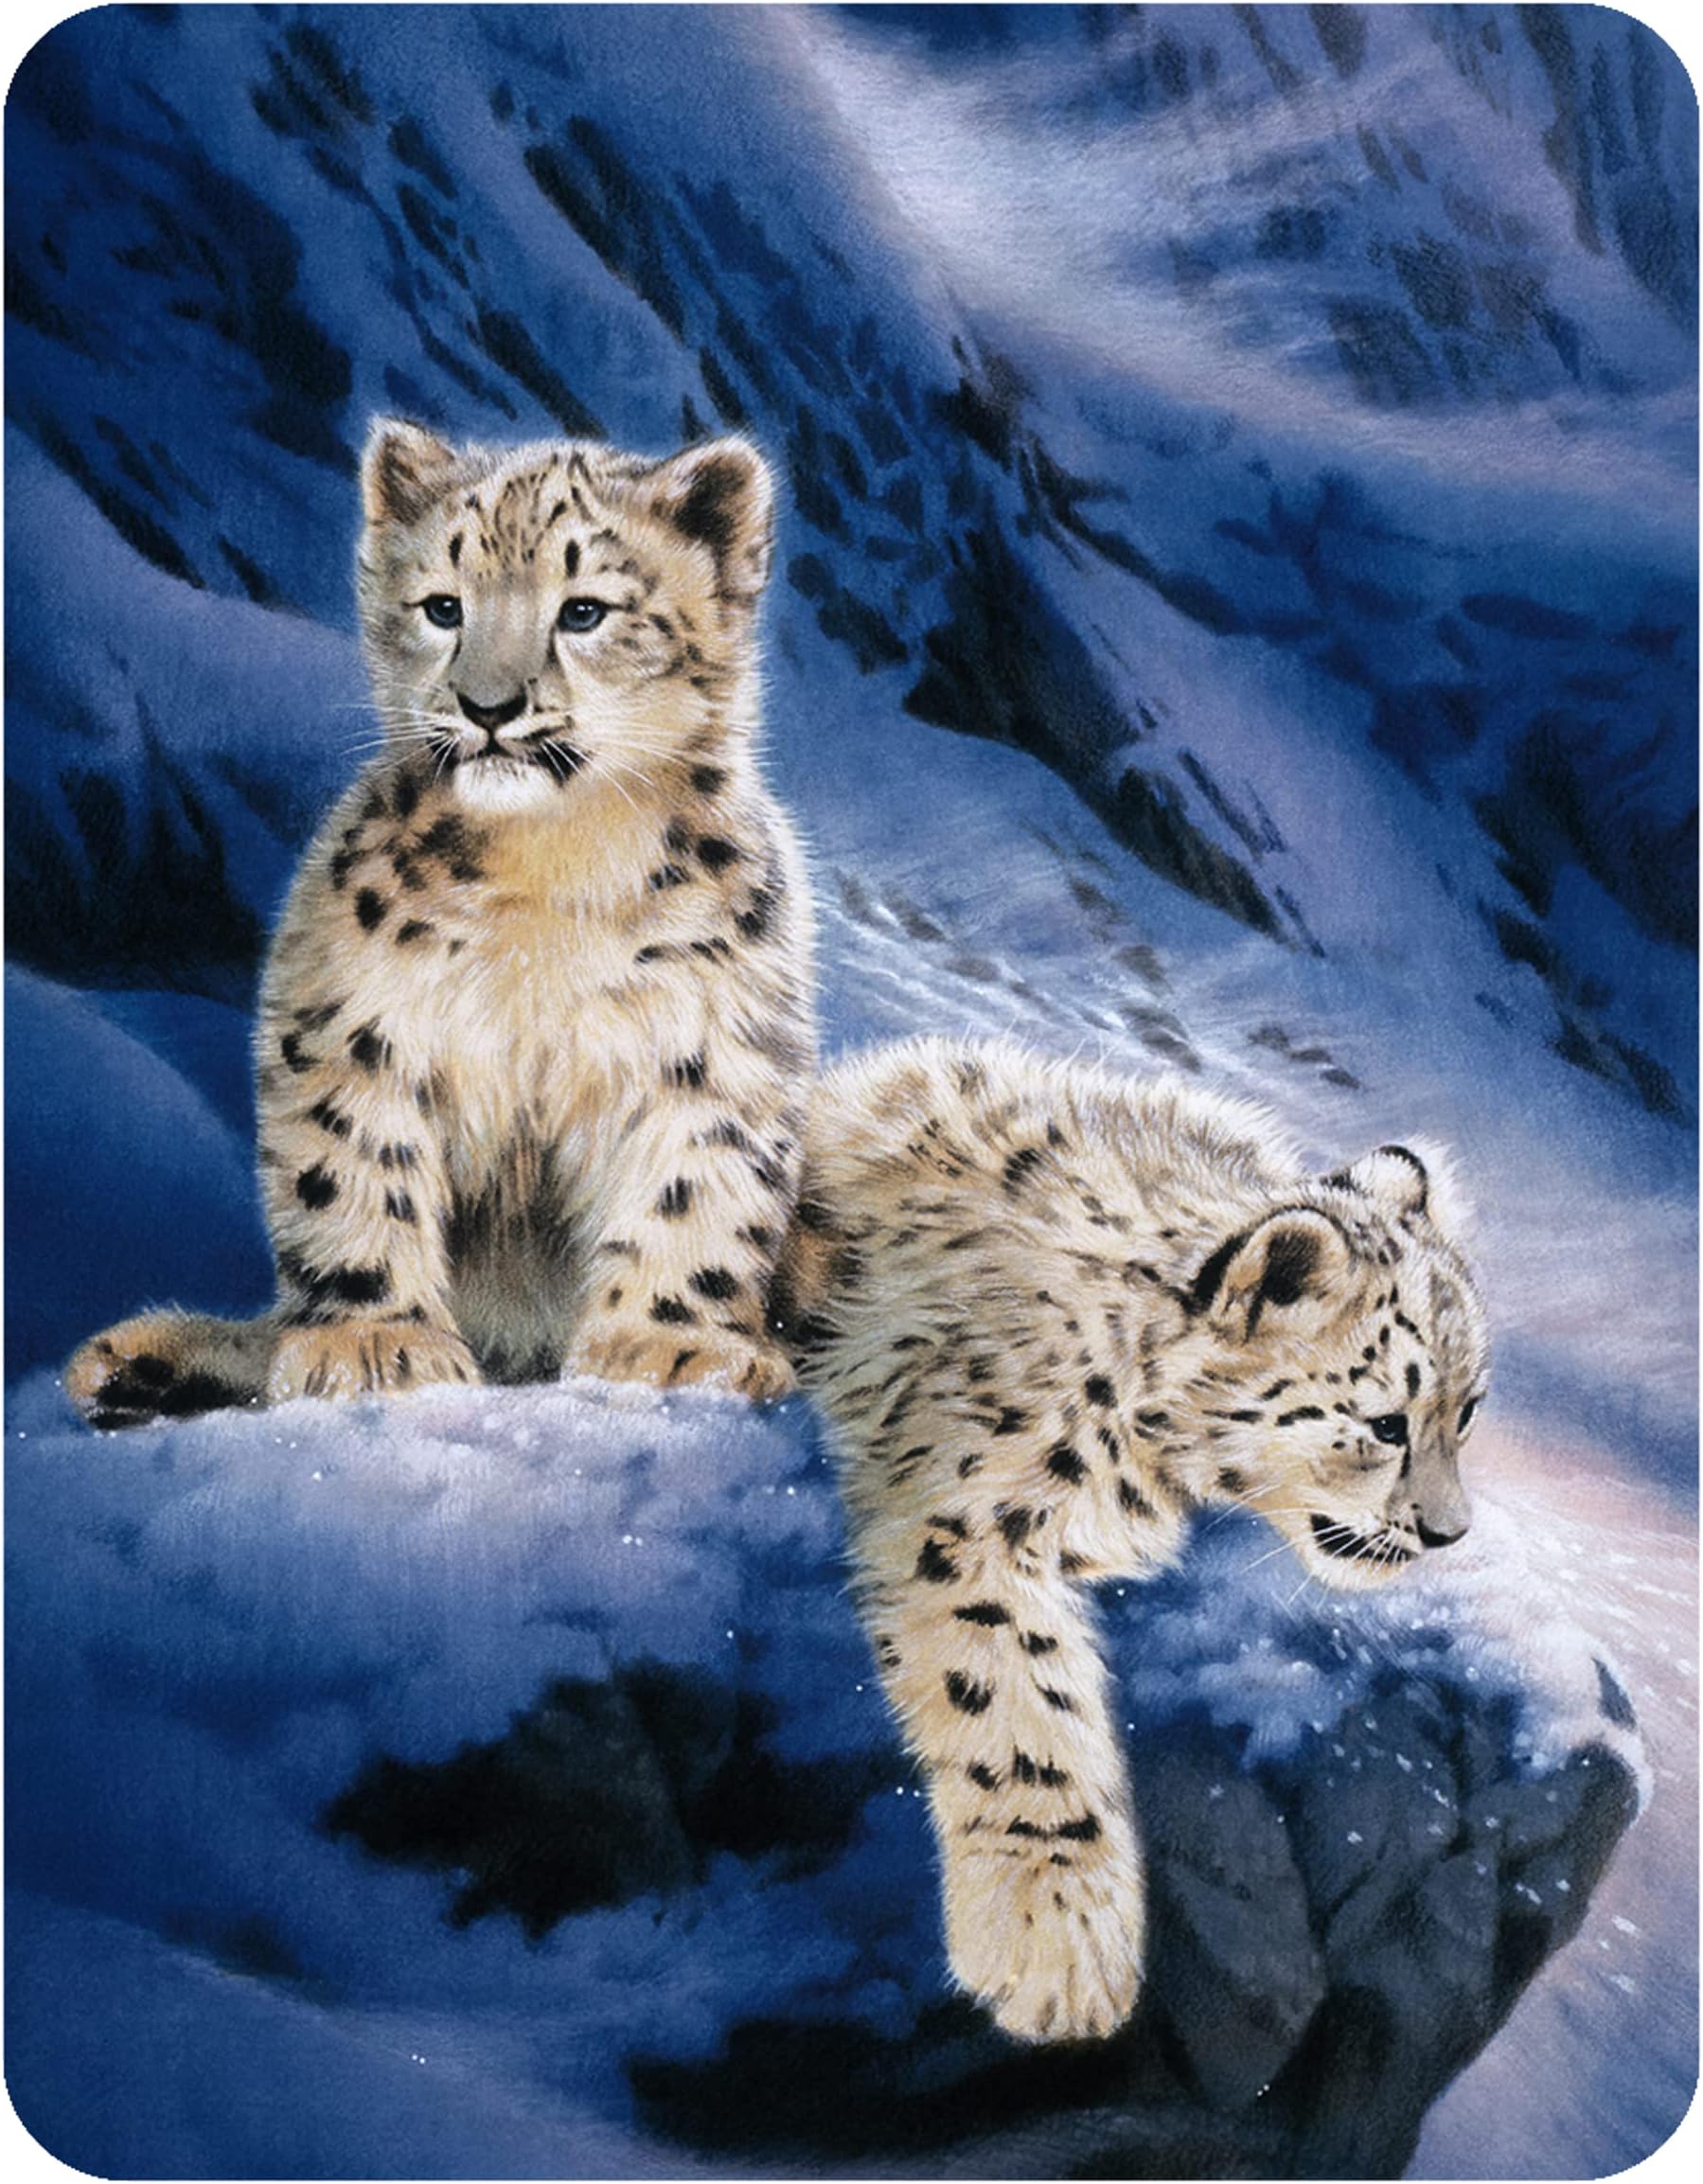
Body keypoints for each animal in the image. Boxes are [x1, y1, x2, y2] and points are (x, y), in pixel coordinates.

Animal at [66, 419, 814, 1425]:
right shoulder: (356, 1017)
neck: (551, 868)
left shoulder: (710, 1040)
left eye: (584, 611)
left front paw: (671, 1346)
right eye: (442, 607)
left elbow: (693, 1189)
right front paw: (374, 1344)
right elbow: (350, 1166)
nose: (487, 706)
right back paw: (137, 1364)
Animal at [771, 1034, 1489, 2045]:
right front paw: (1058, 1931)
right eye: (1386, 1423)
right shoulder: (968, 1508)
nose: (1447, 1530)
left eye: (1467, 1411)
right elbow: (1016, 1692)